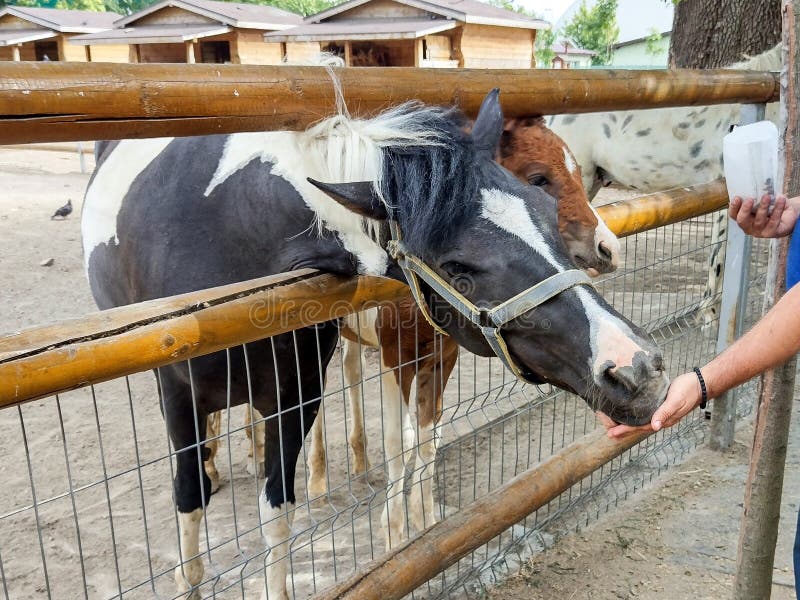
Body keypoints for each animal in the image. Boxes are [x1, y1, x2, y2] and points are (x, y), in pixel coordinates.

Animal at [203, 114, 621, 548]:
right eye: (540, 179)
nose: (608, 248)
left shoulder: (442, 356)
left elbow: (428, 437)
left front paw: (427, 519)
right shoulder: (395, 357)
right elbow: (400, 444)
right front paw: (395, 533)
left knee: (350, 374)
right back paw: (296, 479)